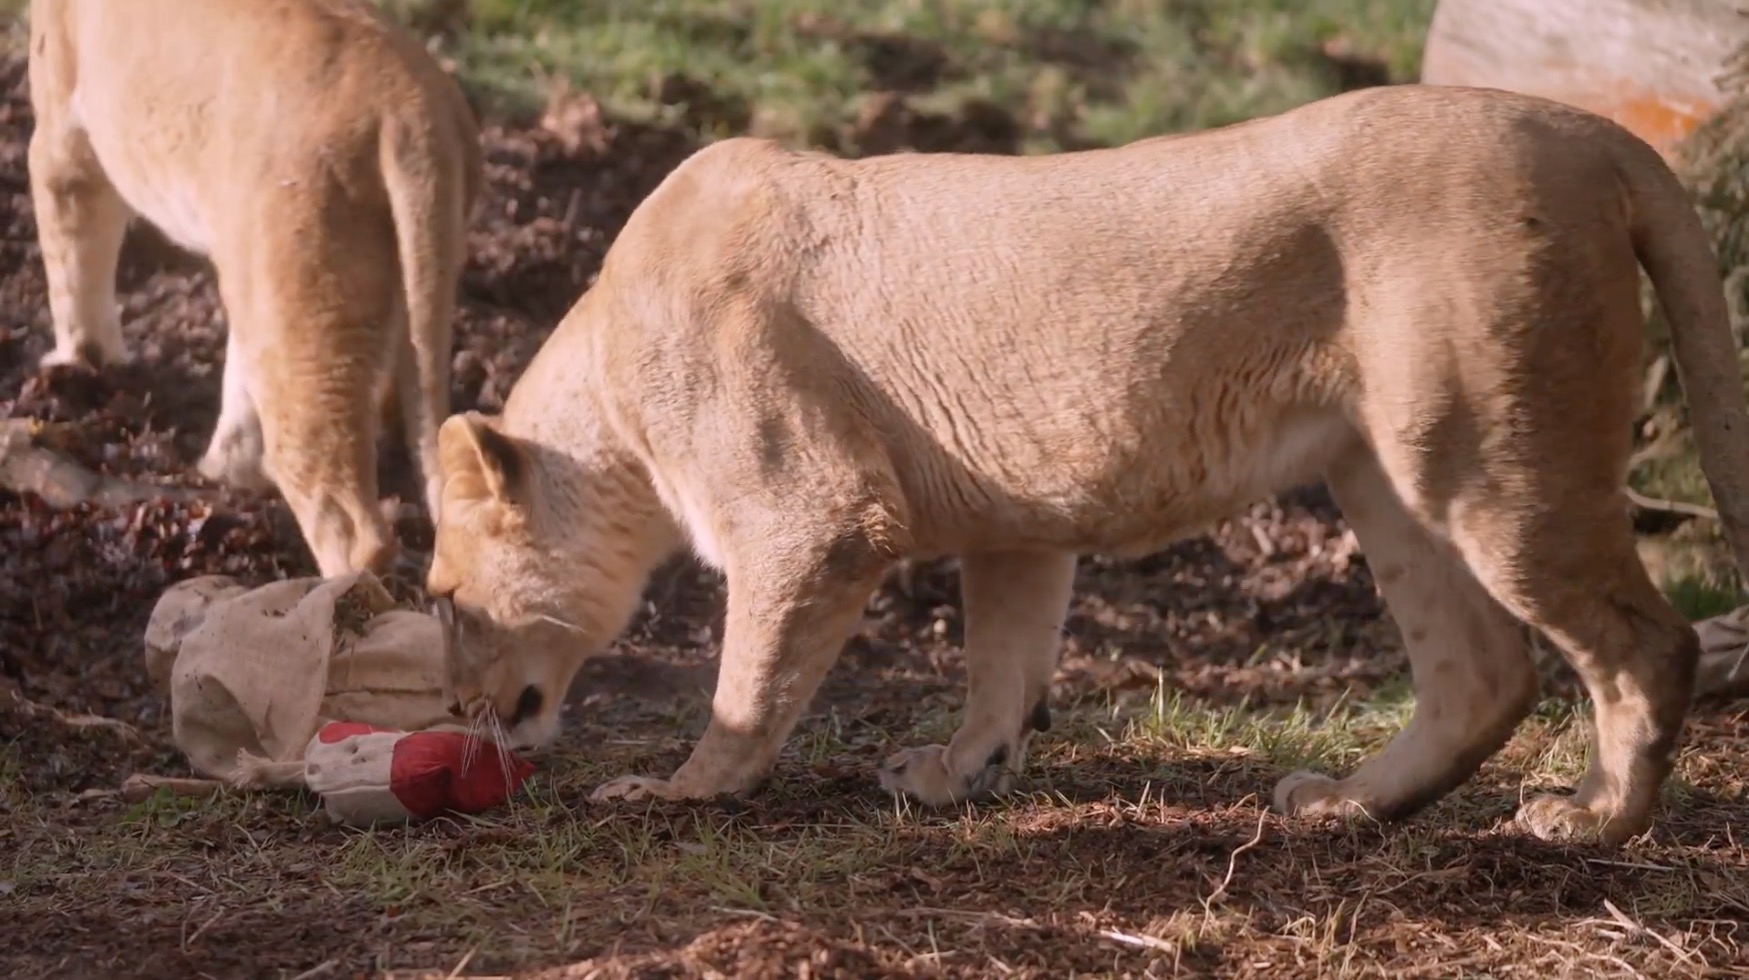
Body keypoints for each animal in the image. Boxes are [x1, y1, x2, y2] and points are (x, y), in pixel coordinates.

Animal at [26, 0, 481, 575]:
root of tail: (410, 109)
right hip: (314, 283)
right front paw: (227, 467)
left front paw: (77, 364)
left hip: (303, 299)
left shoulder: (65, 130)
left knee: (347, 518)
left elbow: (72, 258)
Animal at [425, 83, 1749, 847]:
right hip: (1386, 468)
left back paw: (1593, 820)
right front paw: (956, 773)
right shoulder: (1018, 520)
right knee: (1482, 672)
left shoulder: (813, 512)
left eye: (443, 601)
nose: (454, 713)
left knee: (1646, 641)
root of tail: (1590, 130)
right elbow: (1003, 658)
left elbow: (748, 680)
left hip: (1486, 451)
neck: (612, 391)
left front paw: (682, 792)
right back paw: (1339, 805)